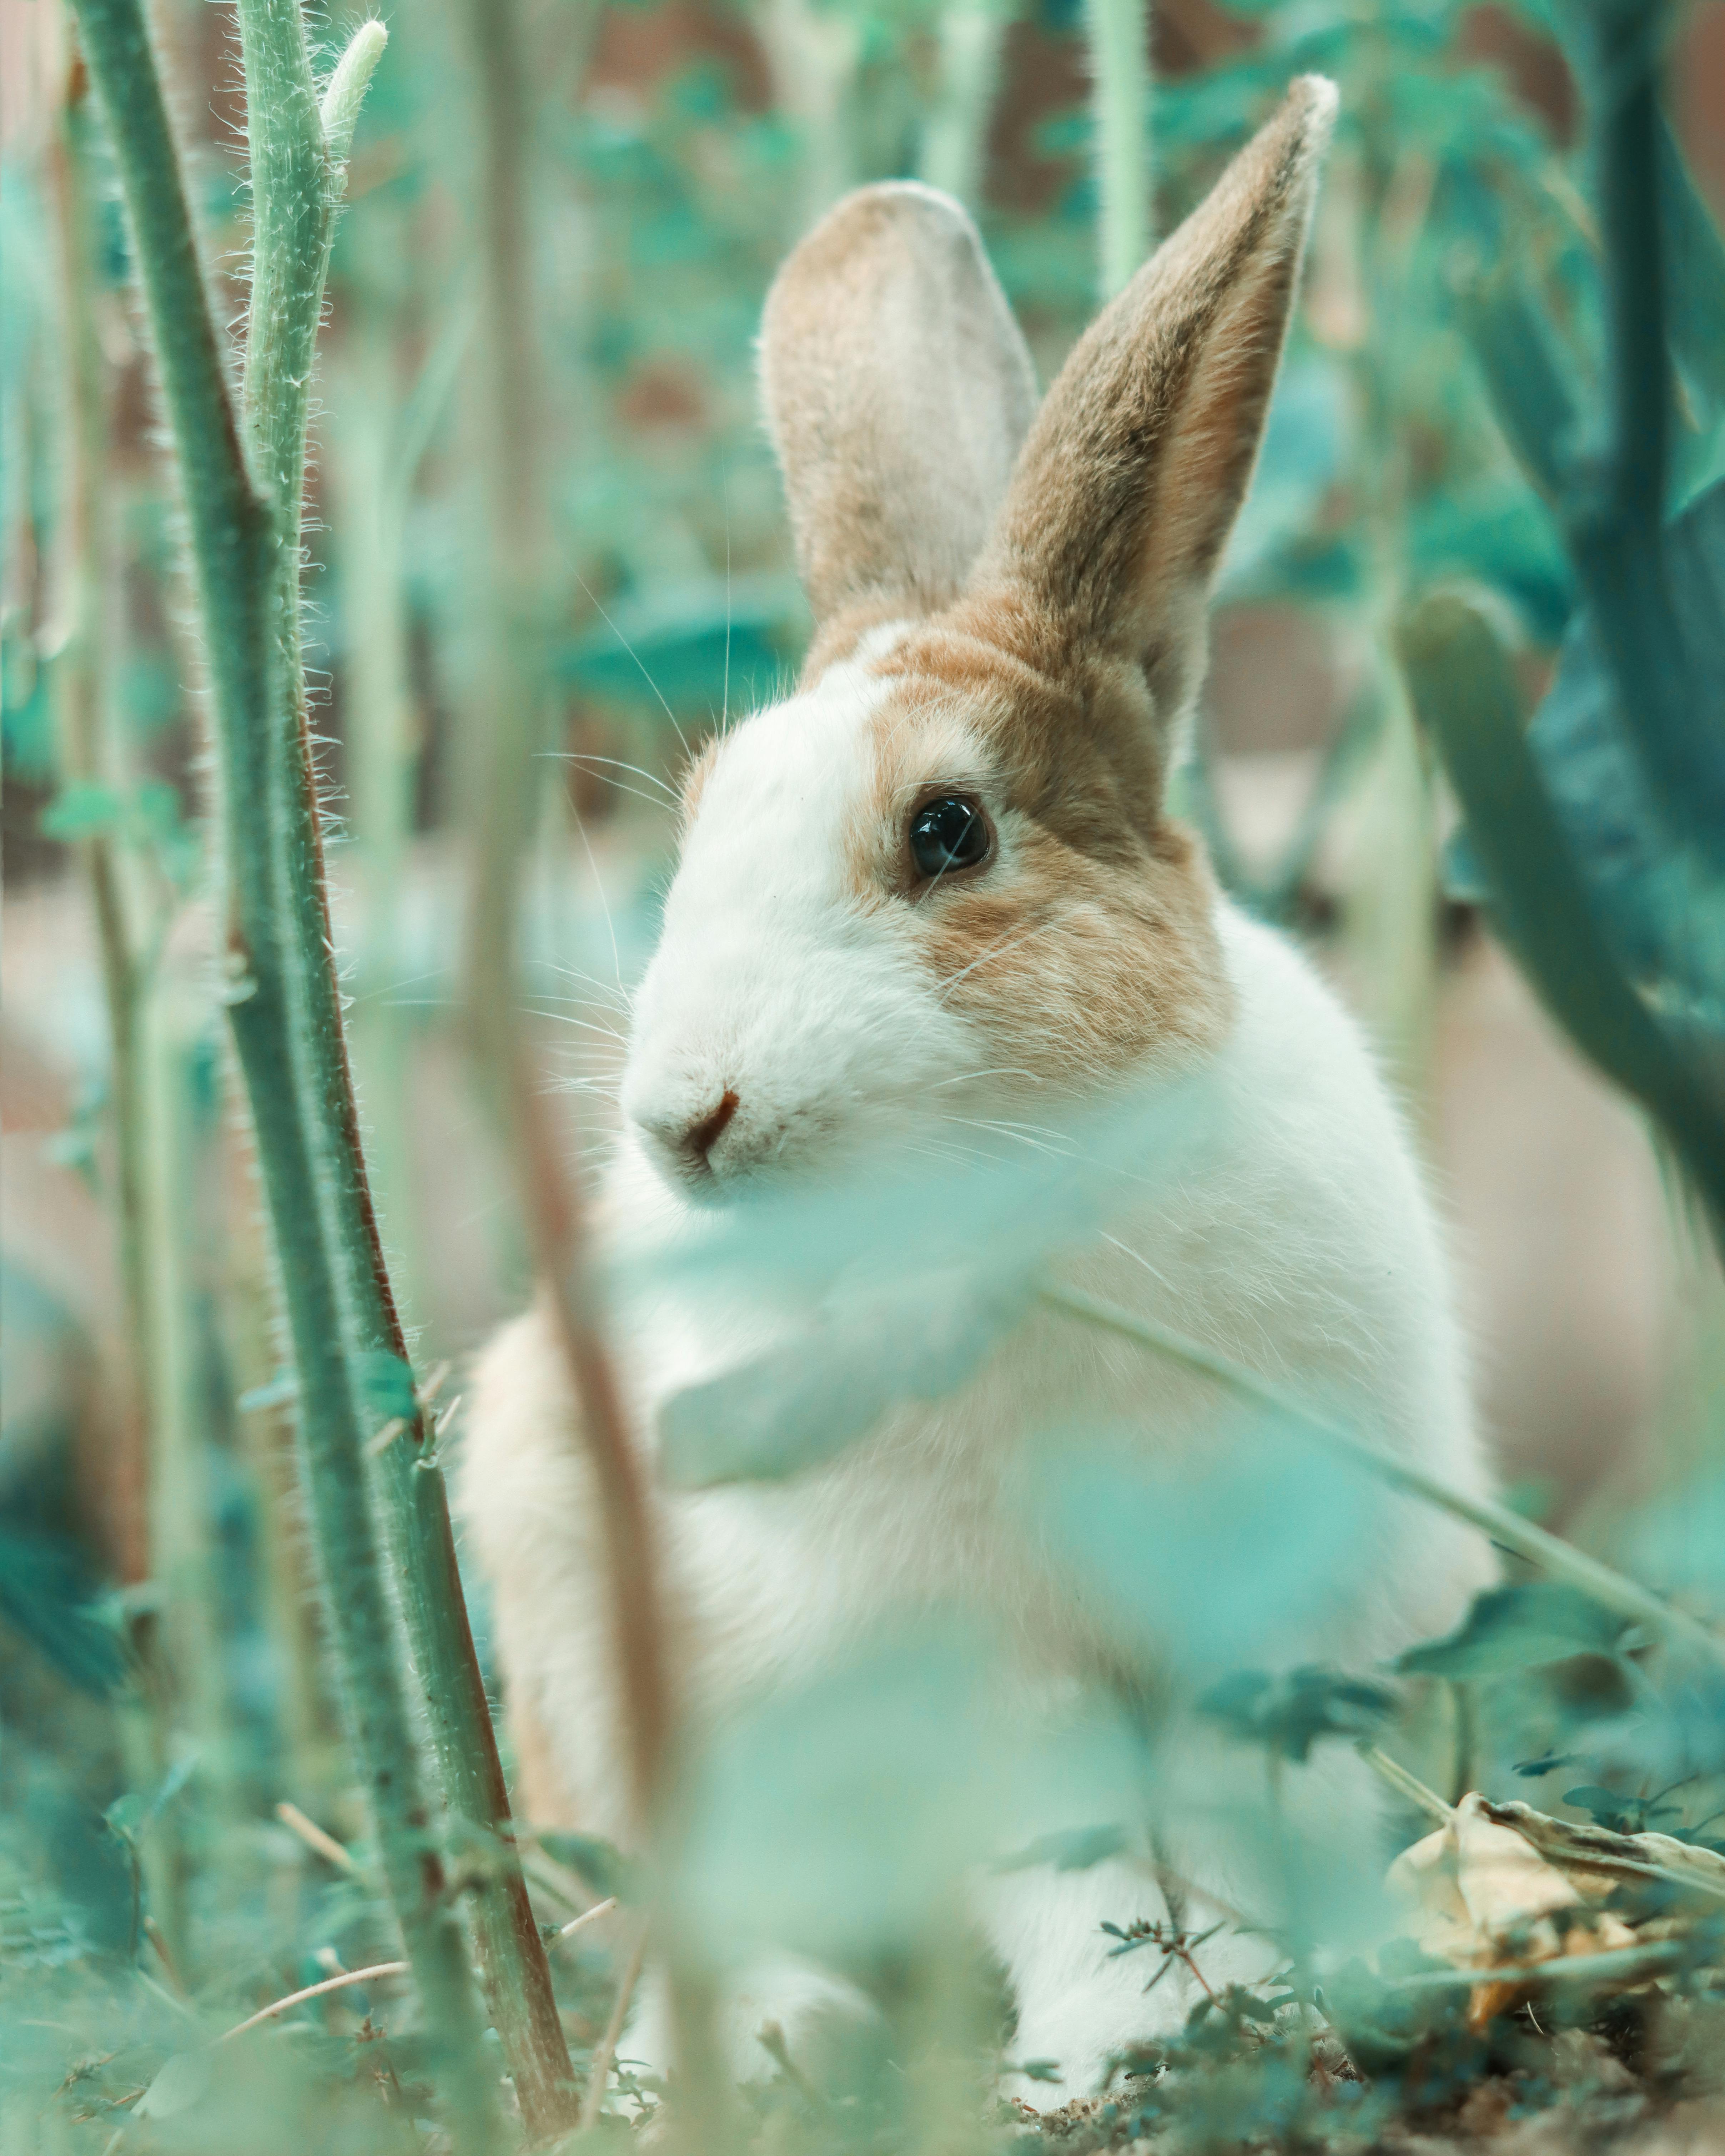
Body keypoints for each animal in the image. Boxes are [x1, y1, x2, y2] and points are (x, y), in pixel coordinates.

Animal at [460, 74, 1497, 2105]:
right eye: (693, 833)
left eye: (948, 832)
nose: (682, 1119)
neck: (1035, 1216)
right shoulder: (979, 1671)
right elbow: (1069, 1847)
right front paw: (1129, 2038)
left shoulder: (1283, 1603)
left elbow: (1247, 1805)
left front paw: (1287, 1988)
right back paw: (766, 2044)